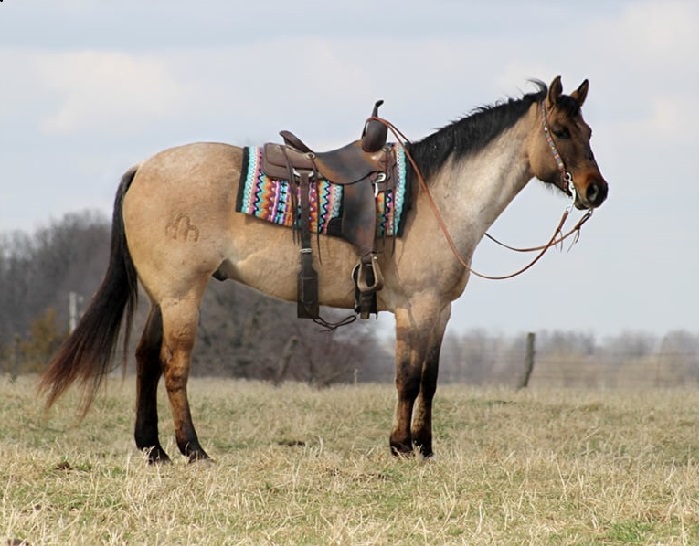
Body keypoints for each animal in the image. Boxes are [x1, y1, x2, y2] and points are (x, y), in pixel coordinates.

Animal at [39, 76, 608, 463]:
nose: (596, 190)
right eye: (561, 130)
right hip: (182, 297)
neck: (437, 198)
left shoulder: (440, 313)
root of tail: (144, 168)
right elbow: (406, 379)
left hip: (165, 297)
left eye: (588, 129)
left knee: (144, 360)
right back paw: (193, 449)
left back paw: (153, 449)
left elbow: (429, 381)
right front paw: (401, 446)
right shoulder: (415, 310)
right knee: (173, 369)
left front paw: (424, 448)